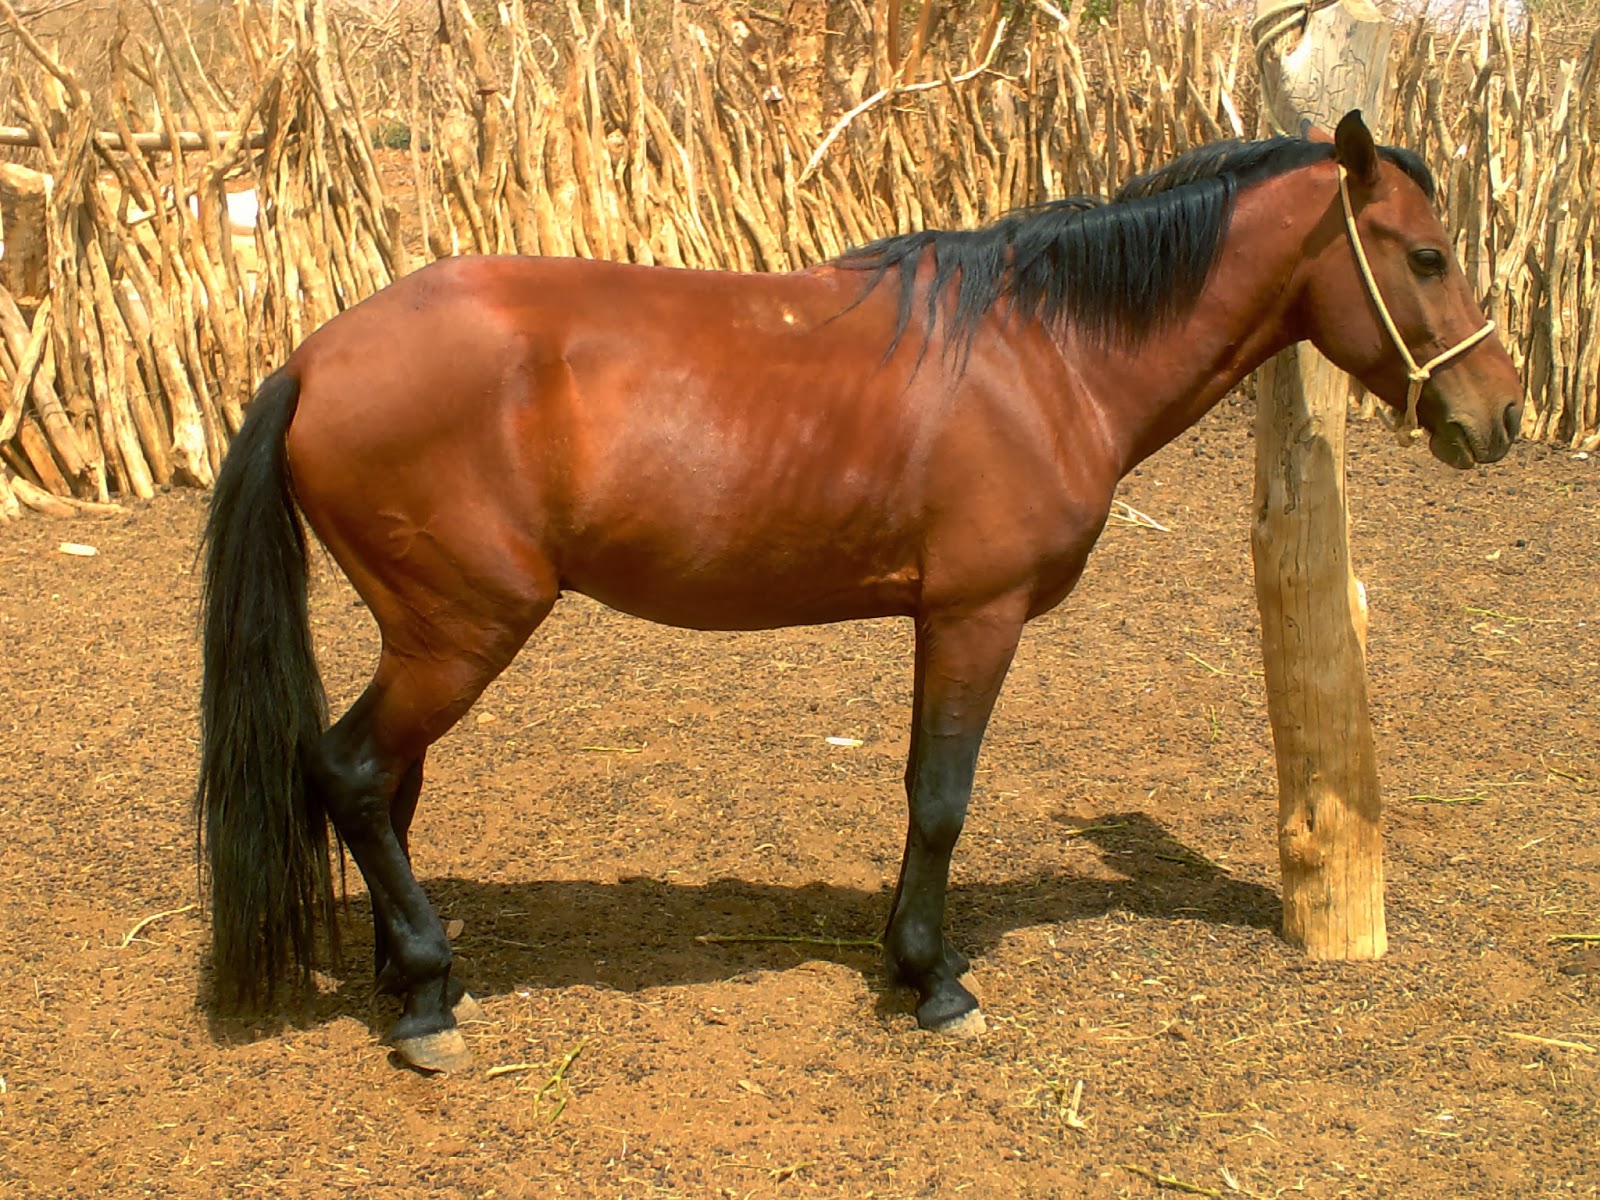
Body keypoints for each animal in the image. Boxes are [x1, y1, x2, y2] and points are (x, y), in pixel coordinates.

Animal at [196, 111, 1521, 1072]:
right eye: (1426, 255)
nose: (1499, 413)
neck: (1043, 354)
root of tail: (314, 356)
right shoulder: (974, 616)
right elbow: (938, 798)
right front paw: (931, 980)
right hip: (462, 631)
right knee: (351, 772)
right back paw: (424, 1002)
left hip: (426, 632)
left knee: (385, 790)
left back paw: (412, 978)